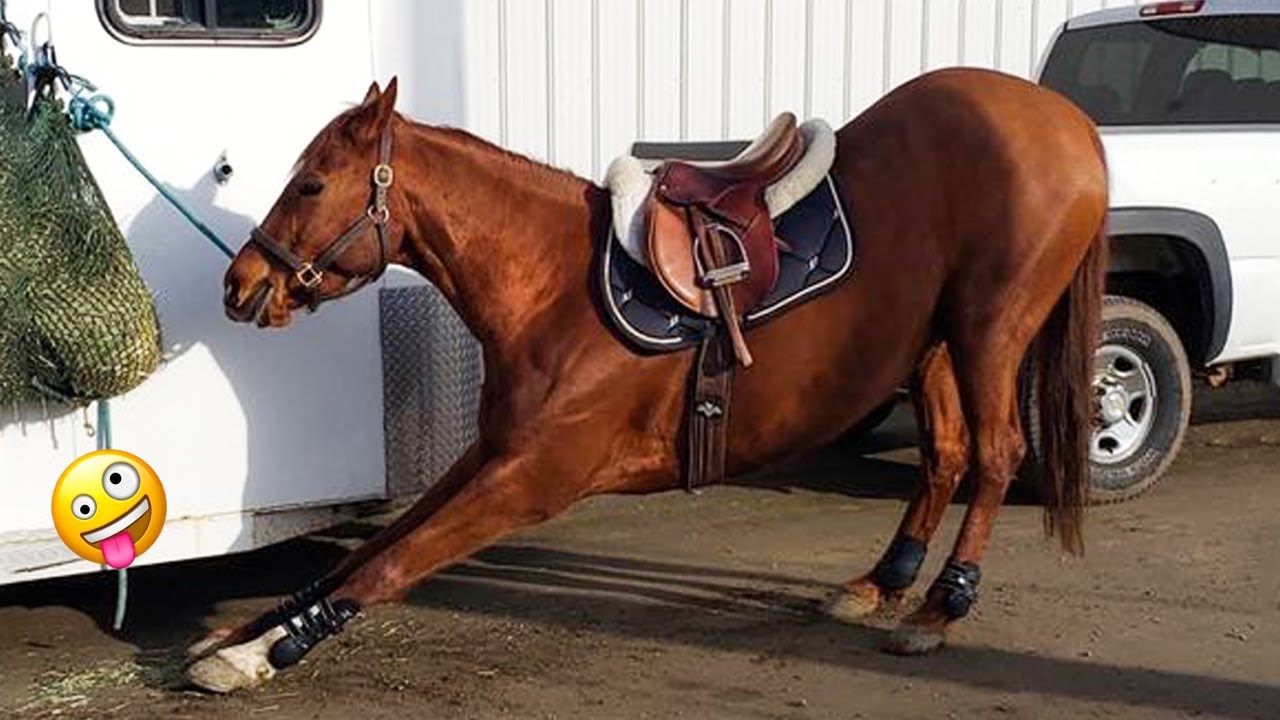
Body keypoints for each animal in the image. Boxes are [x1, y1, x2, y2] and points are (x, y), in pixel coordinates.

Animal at [192, 68, 1108, 692]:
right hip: (933, 347)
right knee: (945, 455)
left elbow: (388, 566)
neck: (553, 284)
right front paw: (240, 635)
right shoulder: (492, 454)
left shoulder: (536, 477)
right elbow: (369, 550)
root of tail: (1068, 122)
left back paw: (938, 608)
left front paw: (260, 651)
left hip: (990, 330)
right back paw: (880, 586)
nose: (239, 284)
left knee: (995, 454)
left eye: (312, 181)